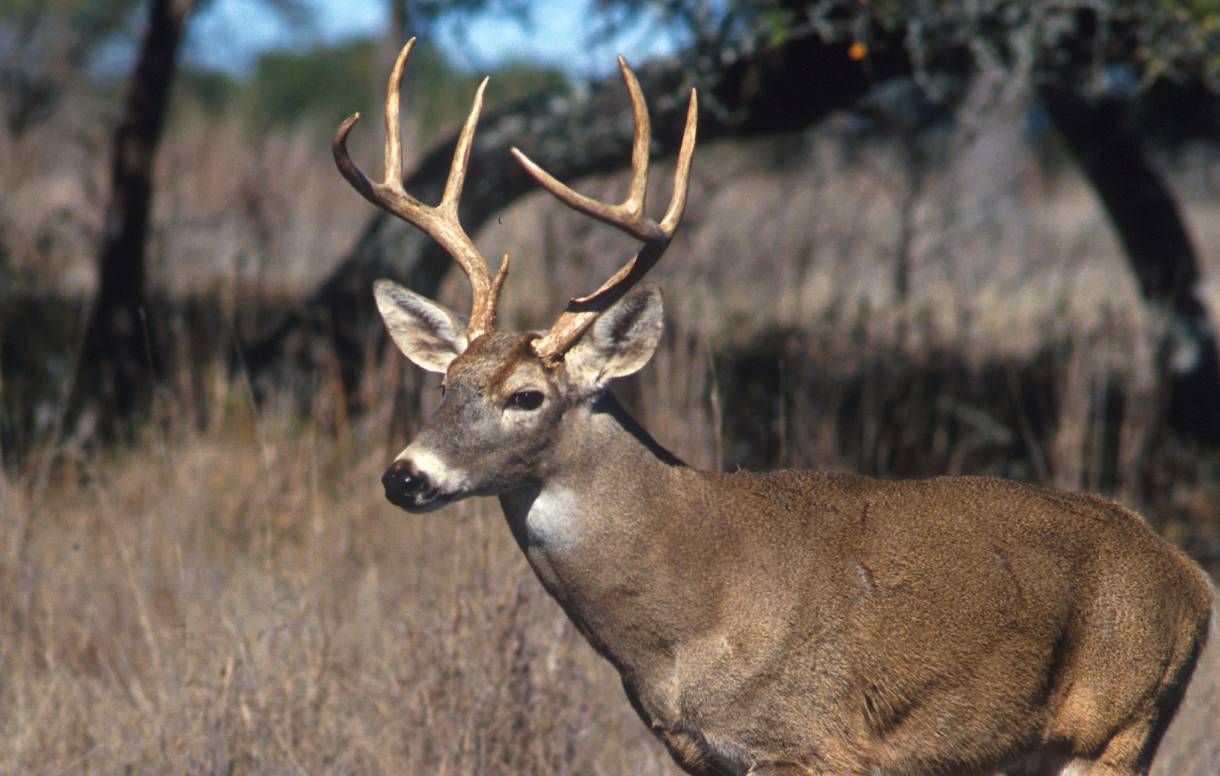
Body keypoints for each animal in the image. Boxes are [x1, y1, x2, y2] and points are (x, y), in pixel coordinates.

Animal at [333, 38, 1215, 776]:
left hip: (1115, 730)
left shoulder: (812, 740)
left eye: (526, 395)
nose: (403, 476)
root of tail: (1192, 577)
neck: (690, 608)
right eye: (445, 384)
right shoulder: (701, 754)